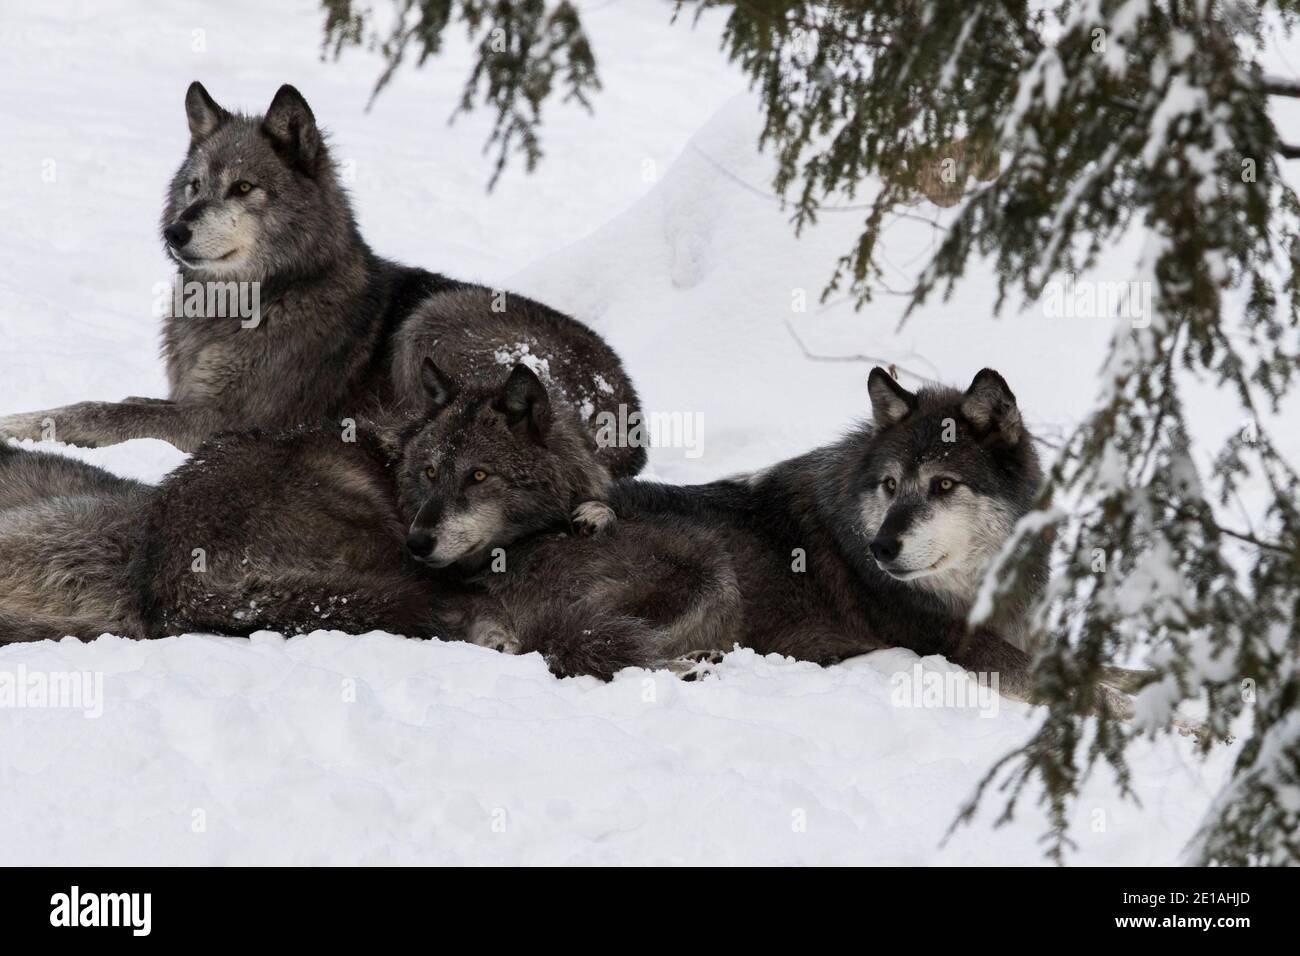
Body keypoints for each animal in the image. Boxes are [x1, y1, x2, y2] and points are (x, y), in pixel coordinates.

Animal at [0, 82, 646, 477]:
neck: (263, 299)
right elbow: (129, 401)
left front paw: (23, 424)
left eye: (243, 187)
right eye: (195, 186)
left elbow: (104, 411)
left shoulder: (222, 420)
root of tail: (633, 426)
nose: (175, 232)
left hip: (433, 316)